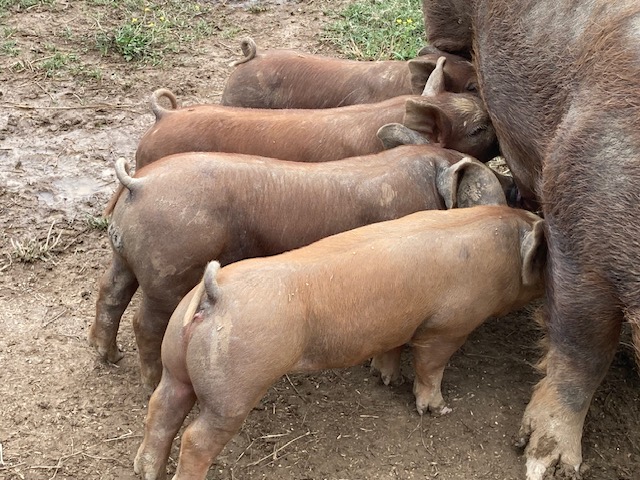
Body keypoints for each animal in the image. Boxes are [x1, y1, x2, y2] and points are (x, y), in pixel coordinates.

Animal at [88, 143, 509, 390]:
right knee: (144, 322)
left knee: (109, 293)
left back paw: (108, 356)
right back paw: (147, 380)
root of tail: (139, 183)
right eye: (497, 193)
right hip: (169, 268)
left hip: (126, 256)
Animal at [133, 205, 546, 480]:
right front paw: (439, 409)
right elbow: (431, 368)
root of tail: (214, 292)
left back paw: (145, 469)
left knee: (161, 408)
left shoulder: (397, 323)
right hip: (234, 389)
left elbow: (392, 349)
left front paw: (387, 379)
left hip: (176, 362)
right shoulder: (447, 327)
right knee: (195, 438)